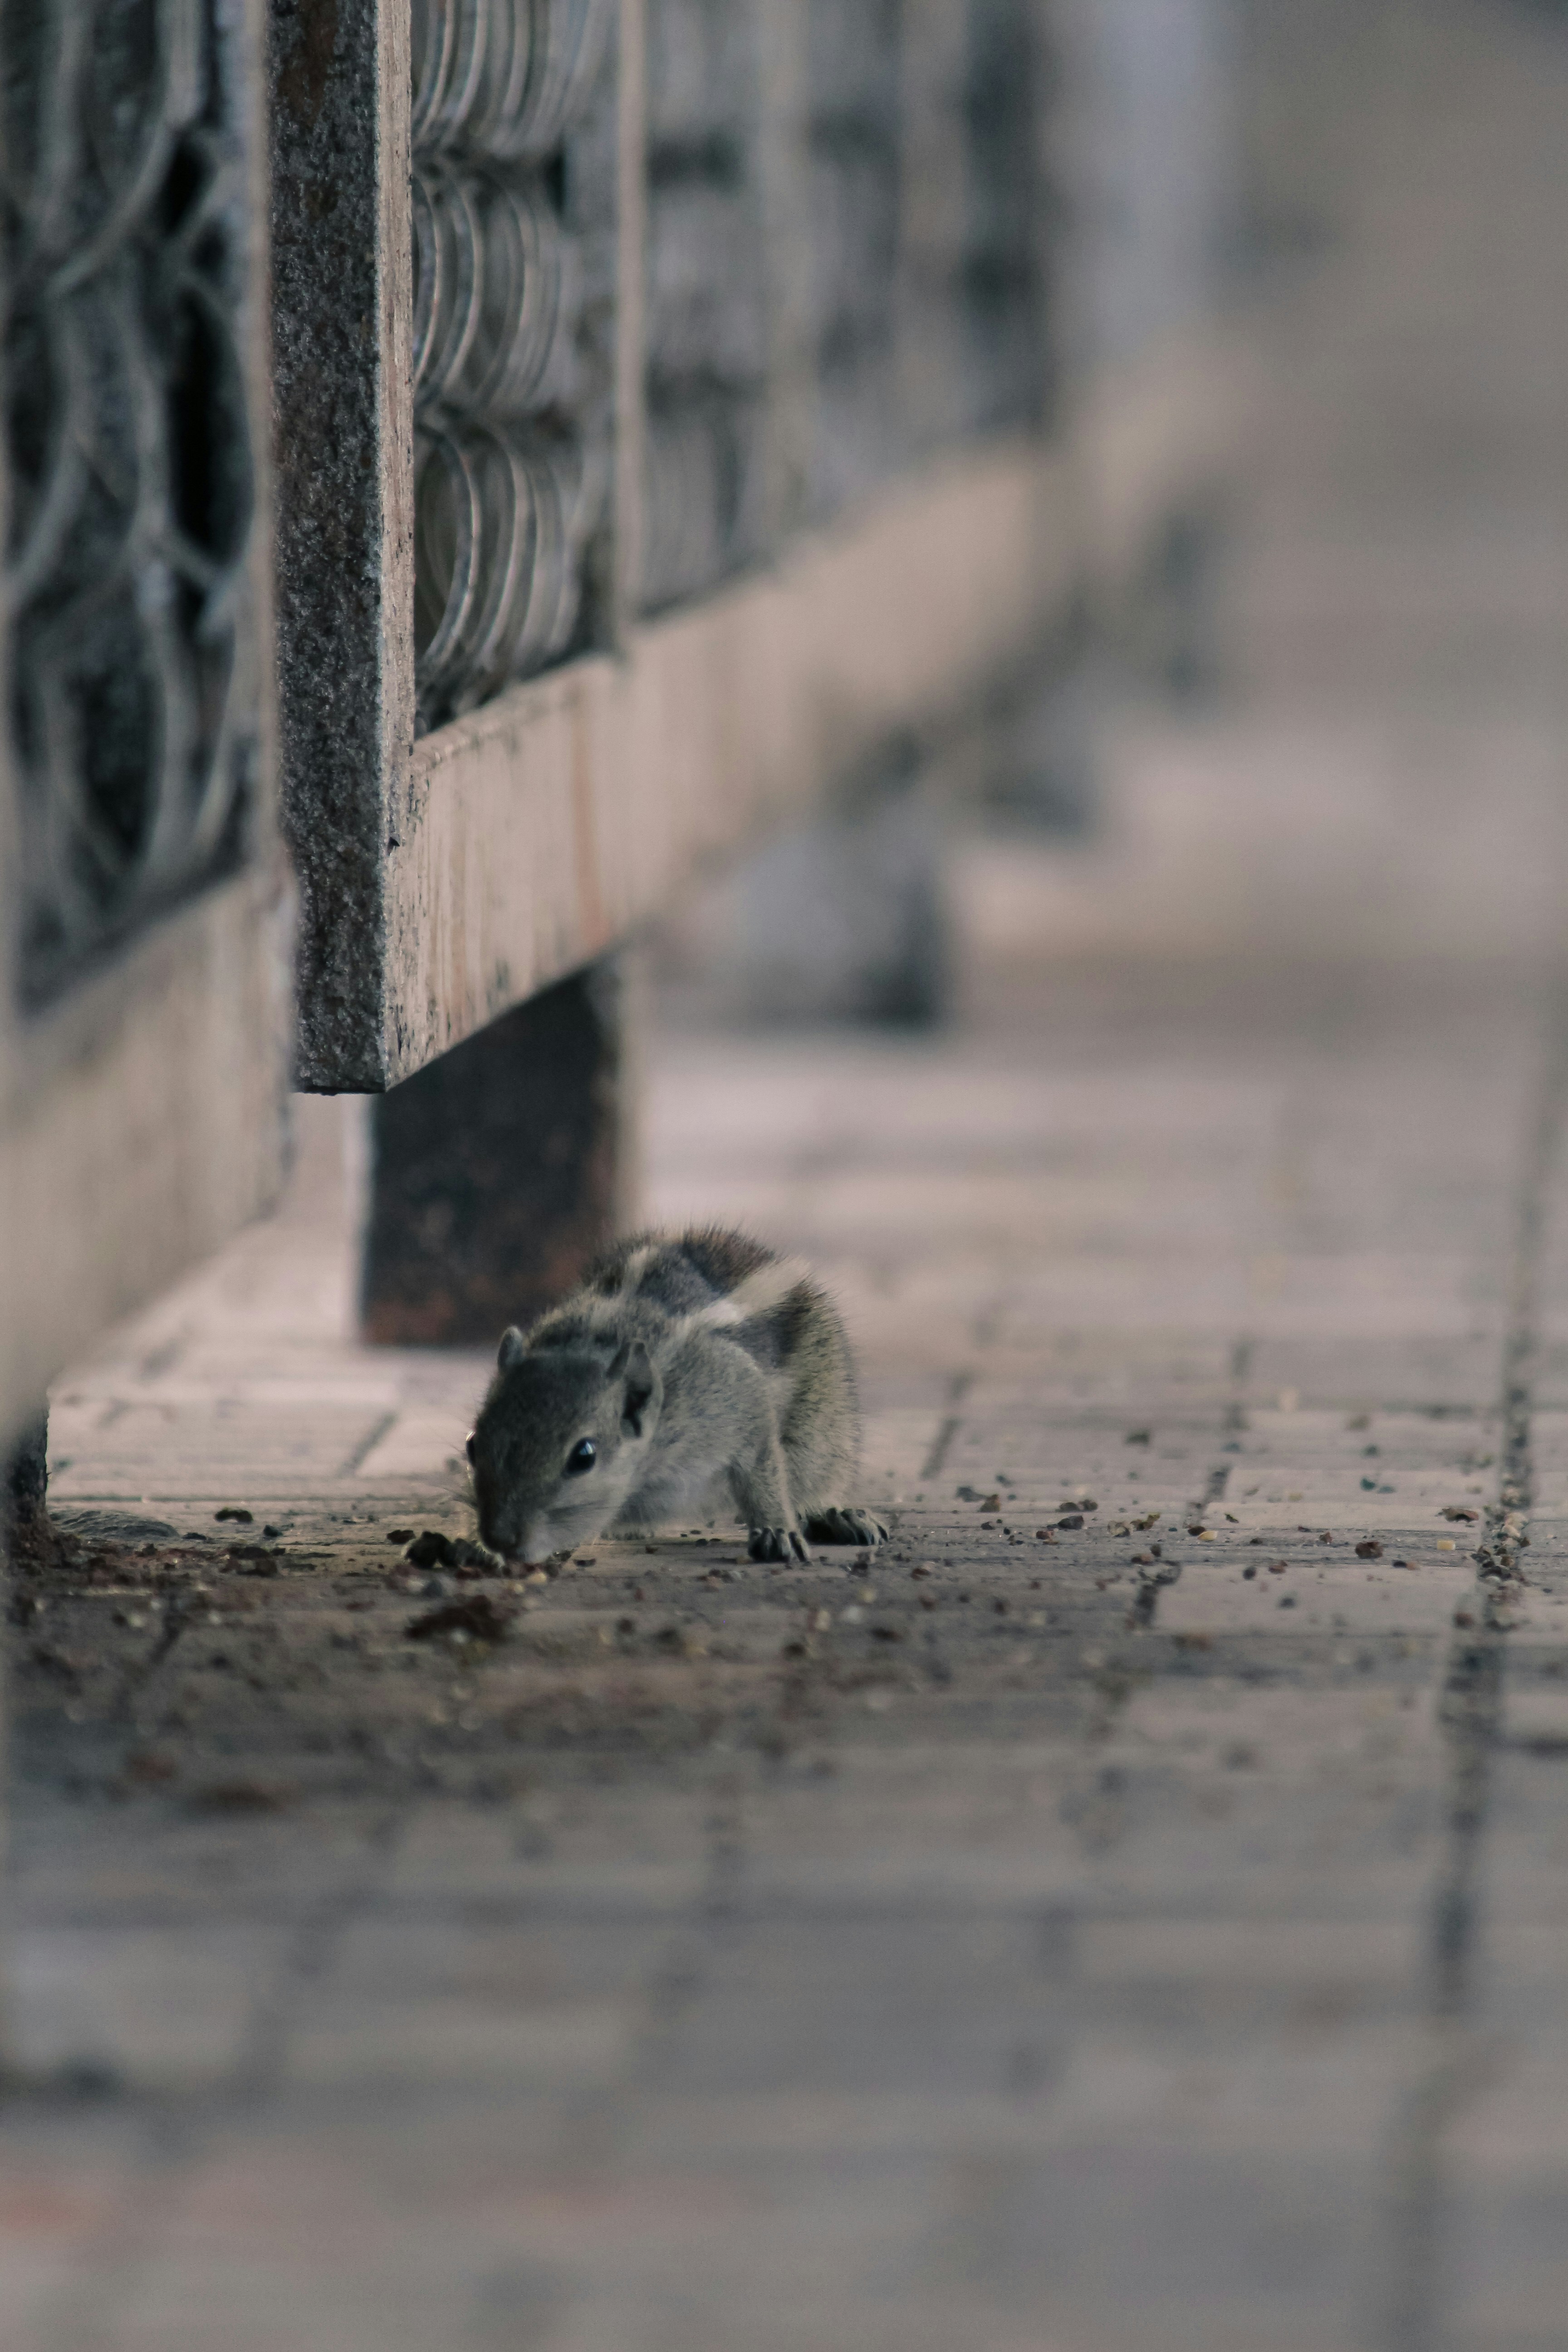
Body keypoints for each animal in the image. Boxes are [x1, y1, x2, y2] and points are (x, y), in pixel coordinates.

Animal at [466, 1226, 889, 1567]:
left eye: (584, 1456)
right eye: (472, 1445)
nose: (500, 1538)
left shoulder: (738, 1395)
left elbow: (761, 1469)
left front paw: (775, 1530)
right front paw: (476, 1549)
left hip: (823, 1436)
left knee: (815, 1482)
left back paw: (837, 1515)